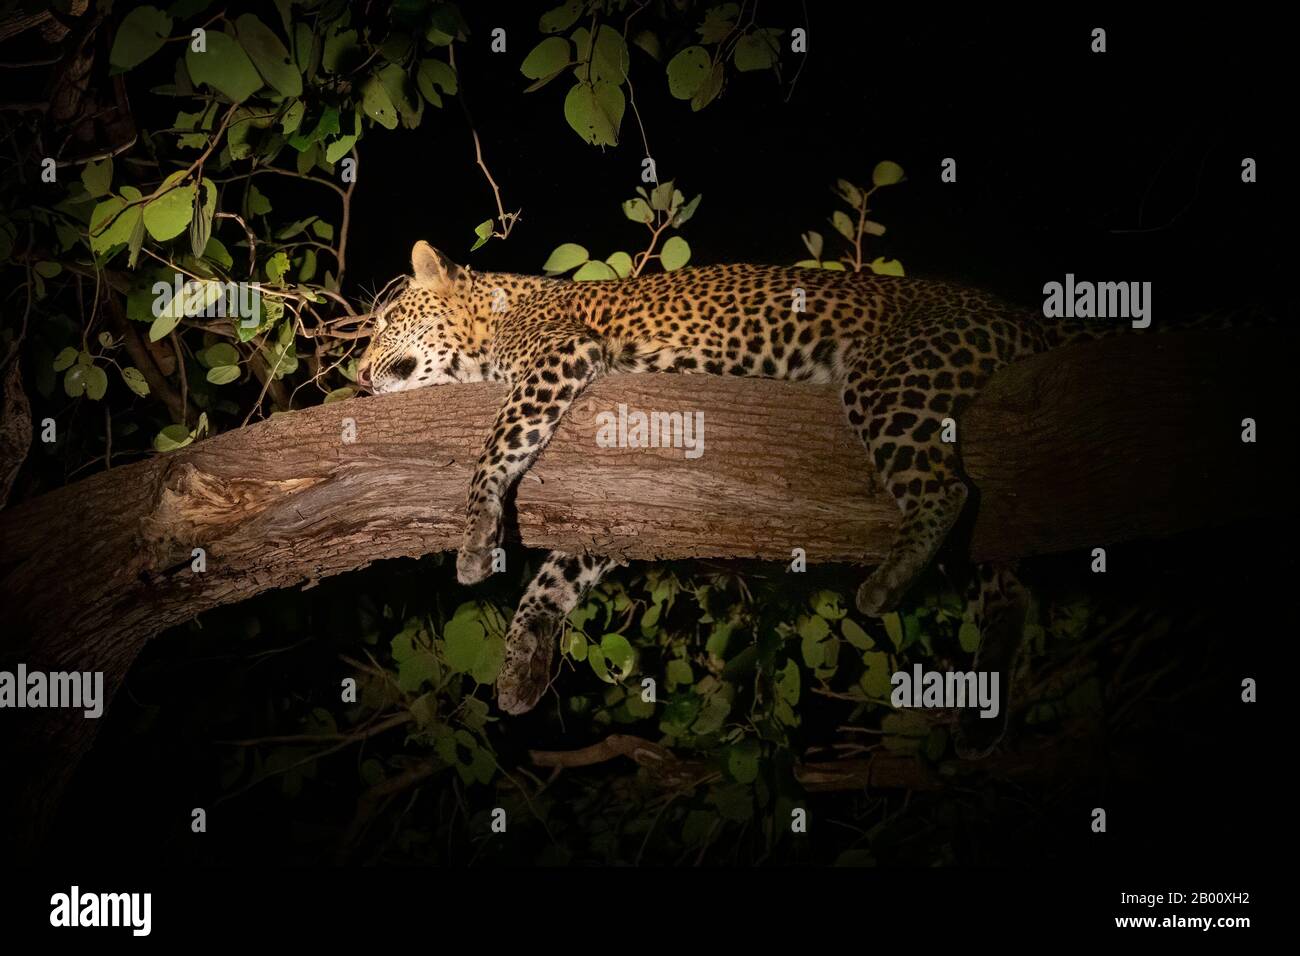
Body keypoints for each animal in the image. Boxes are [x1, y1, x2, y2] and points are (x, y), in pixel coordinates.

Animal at [357, 240, 1102, 758]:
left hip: (891, 375)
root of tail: (1012, 311)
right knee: (1004, 581)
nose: (359, 374)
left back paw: (889, 582)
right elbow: (556, 576)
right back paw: (983, 692)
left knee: (946, 489)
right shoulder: (611, 502)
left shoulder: (558, 358)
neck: (495, 319)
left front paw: (476, 533)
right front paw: (522, 662)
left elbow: (497, 442)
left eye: (388, 321)